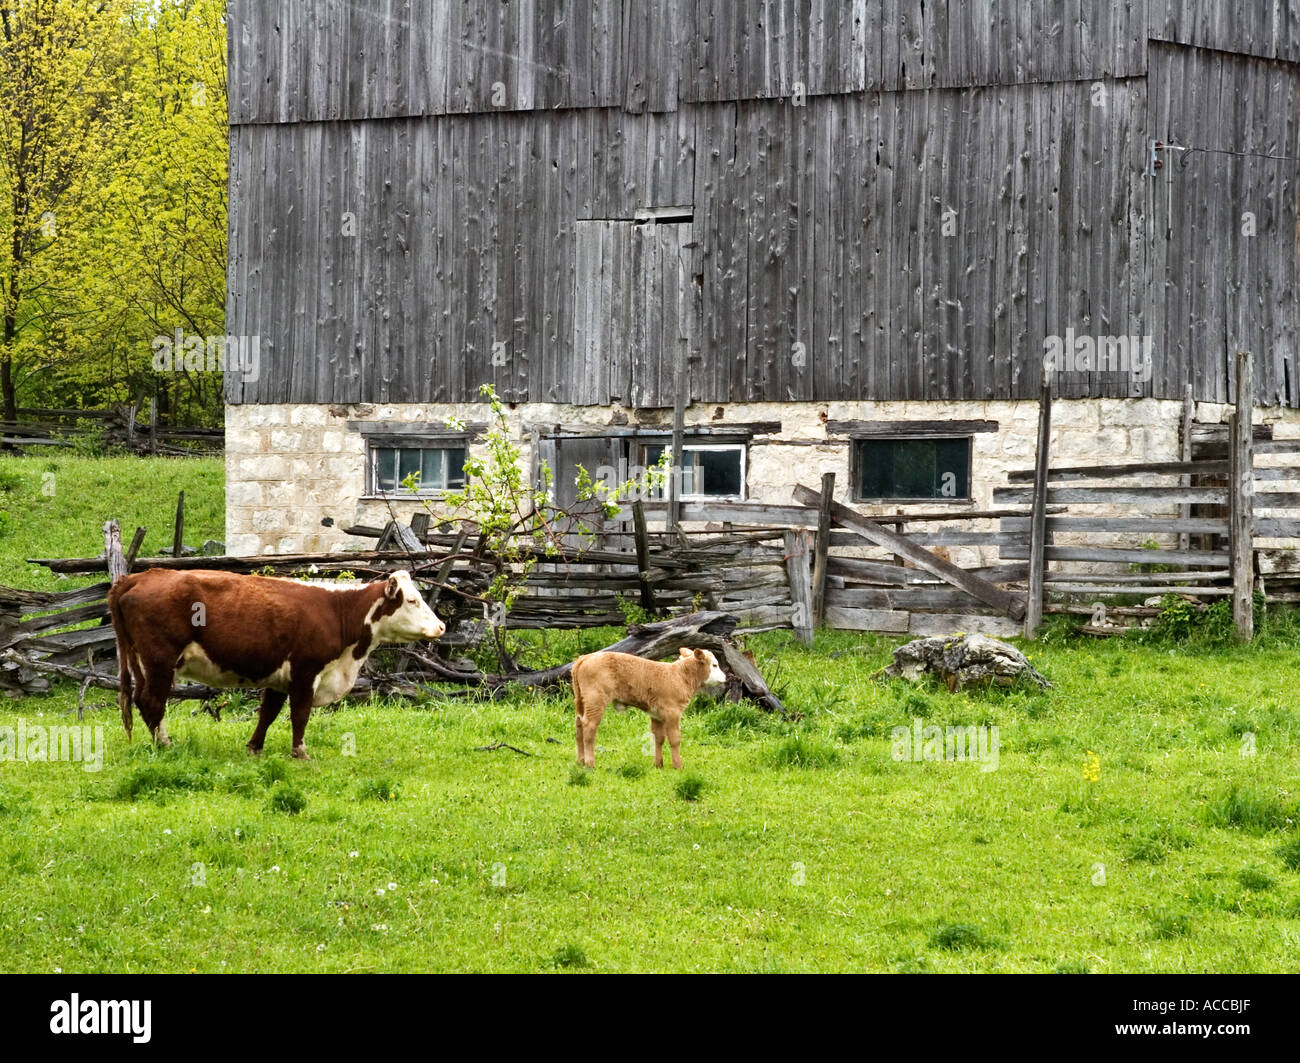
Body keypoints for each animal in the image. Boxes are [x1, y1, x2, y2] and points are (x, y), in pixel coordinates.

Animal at [107, 569, 445, 759]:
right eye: (412, 600)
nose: (441, 627)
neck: (337, 610)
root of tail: (138, 576)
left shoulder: (279, 678)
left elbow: (268, 714)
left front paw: (254, 748)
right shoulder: (306, 672)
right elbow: (300, 715)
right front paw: (301, 753)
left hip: (141, 662)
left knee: (140, 699)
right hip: (159, 661)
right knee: (152, 701)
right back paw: (165, 744)